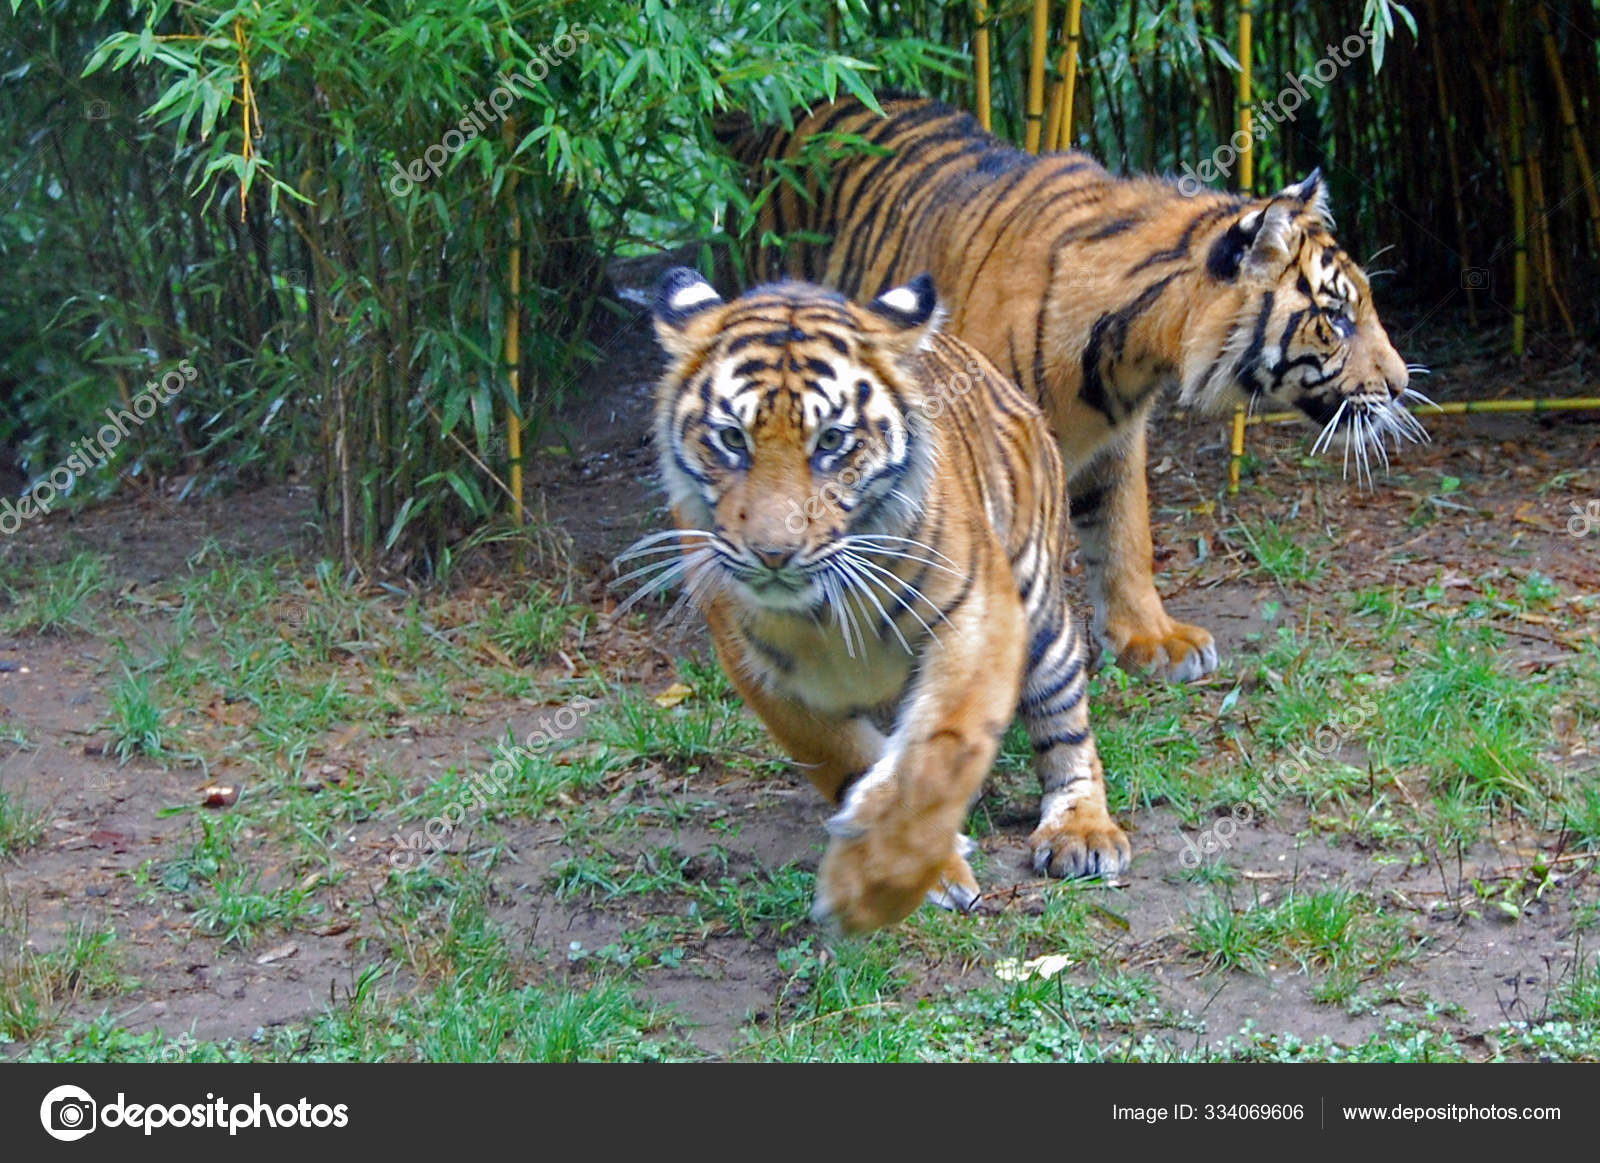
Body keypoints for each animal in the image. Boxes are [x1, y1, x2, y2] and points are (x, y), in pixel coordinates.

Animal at [618, 268, 1129, 934]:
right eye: (731, 439)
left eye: (831, 441)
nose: (774, 553)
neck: (820, 611)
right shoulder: (757, 664)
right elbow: (842, 753)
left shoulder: (977, 618)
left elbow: (935, 755)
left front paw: (886, 877)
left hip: (1040, 611)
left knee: (1065, 723)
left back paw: (1082, 832)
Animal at [718, 95, 1422, 683]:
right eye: (1336, 318)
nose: (1399, 385)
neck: (1133, 352)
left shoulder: (1117, 438)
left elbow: (1125, 536)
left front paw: (1153, 640)